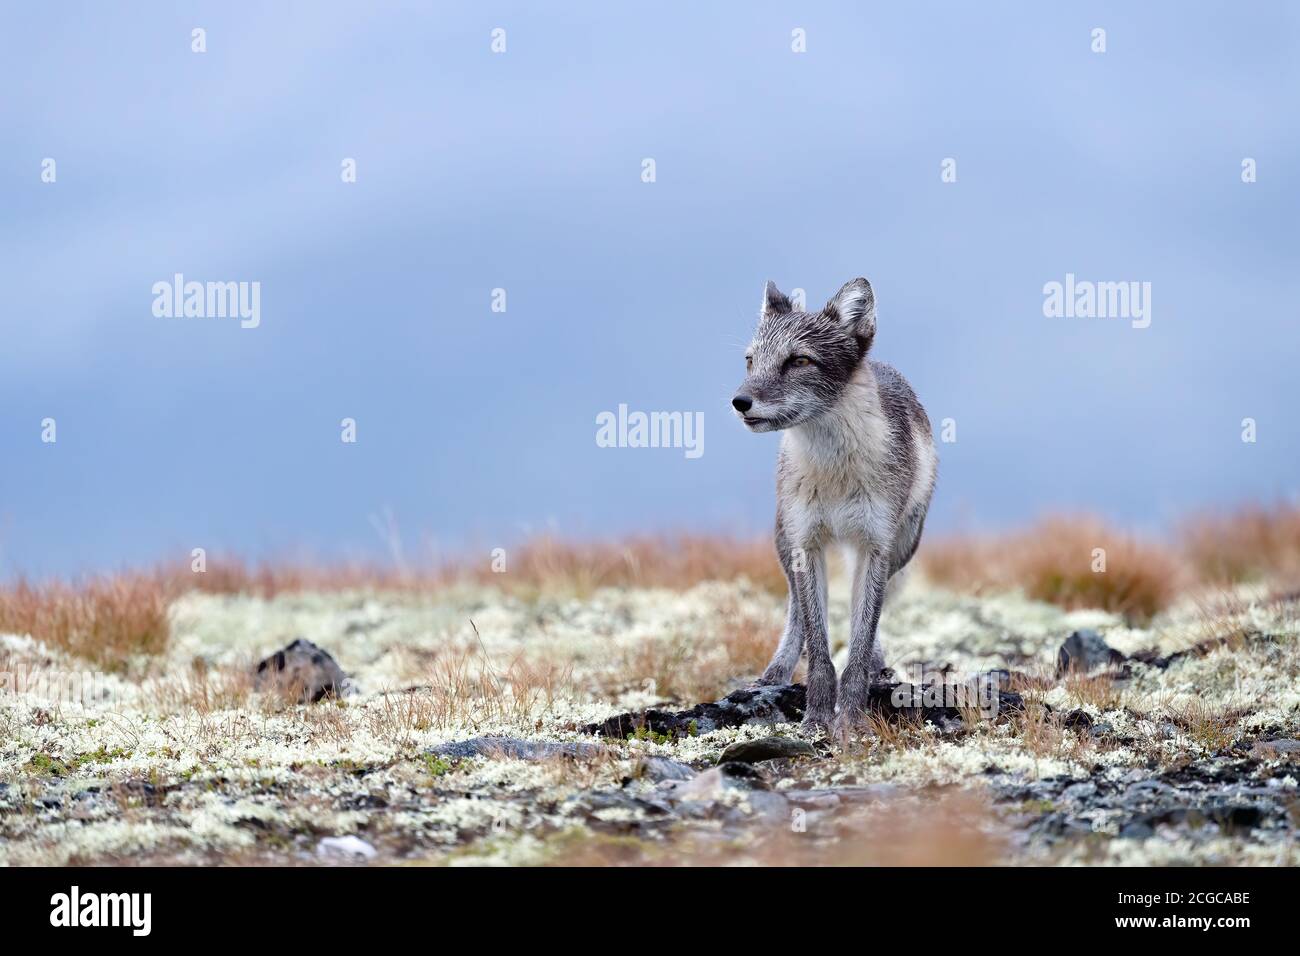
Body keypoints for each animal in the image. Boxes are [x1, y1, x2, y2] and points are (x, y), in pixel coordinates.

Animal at [732, 277, 937, 739]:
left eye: (799, 360)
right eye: (751, 361)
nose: (740, 401)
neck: (835, 474)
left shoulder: (875, 547)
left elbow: (859, 642)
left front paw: (852, 720)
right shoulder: (806, 544)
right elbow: (819, 647)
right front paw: (816, 719)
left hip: (902, 547)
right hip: (784, 540)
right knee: (796, 610)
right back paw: (776, 672)